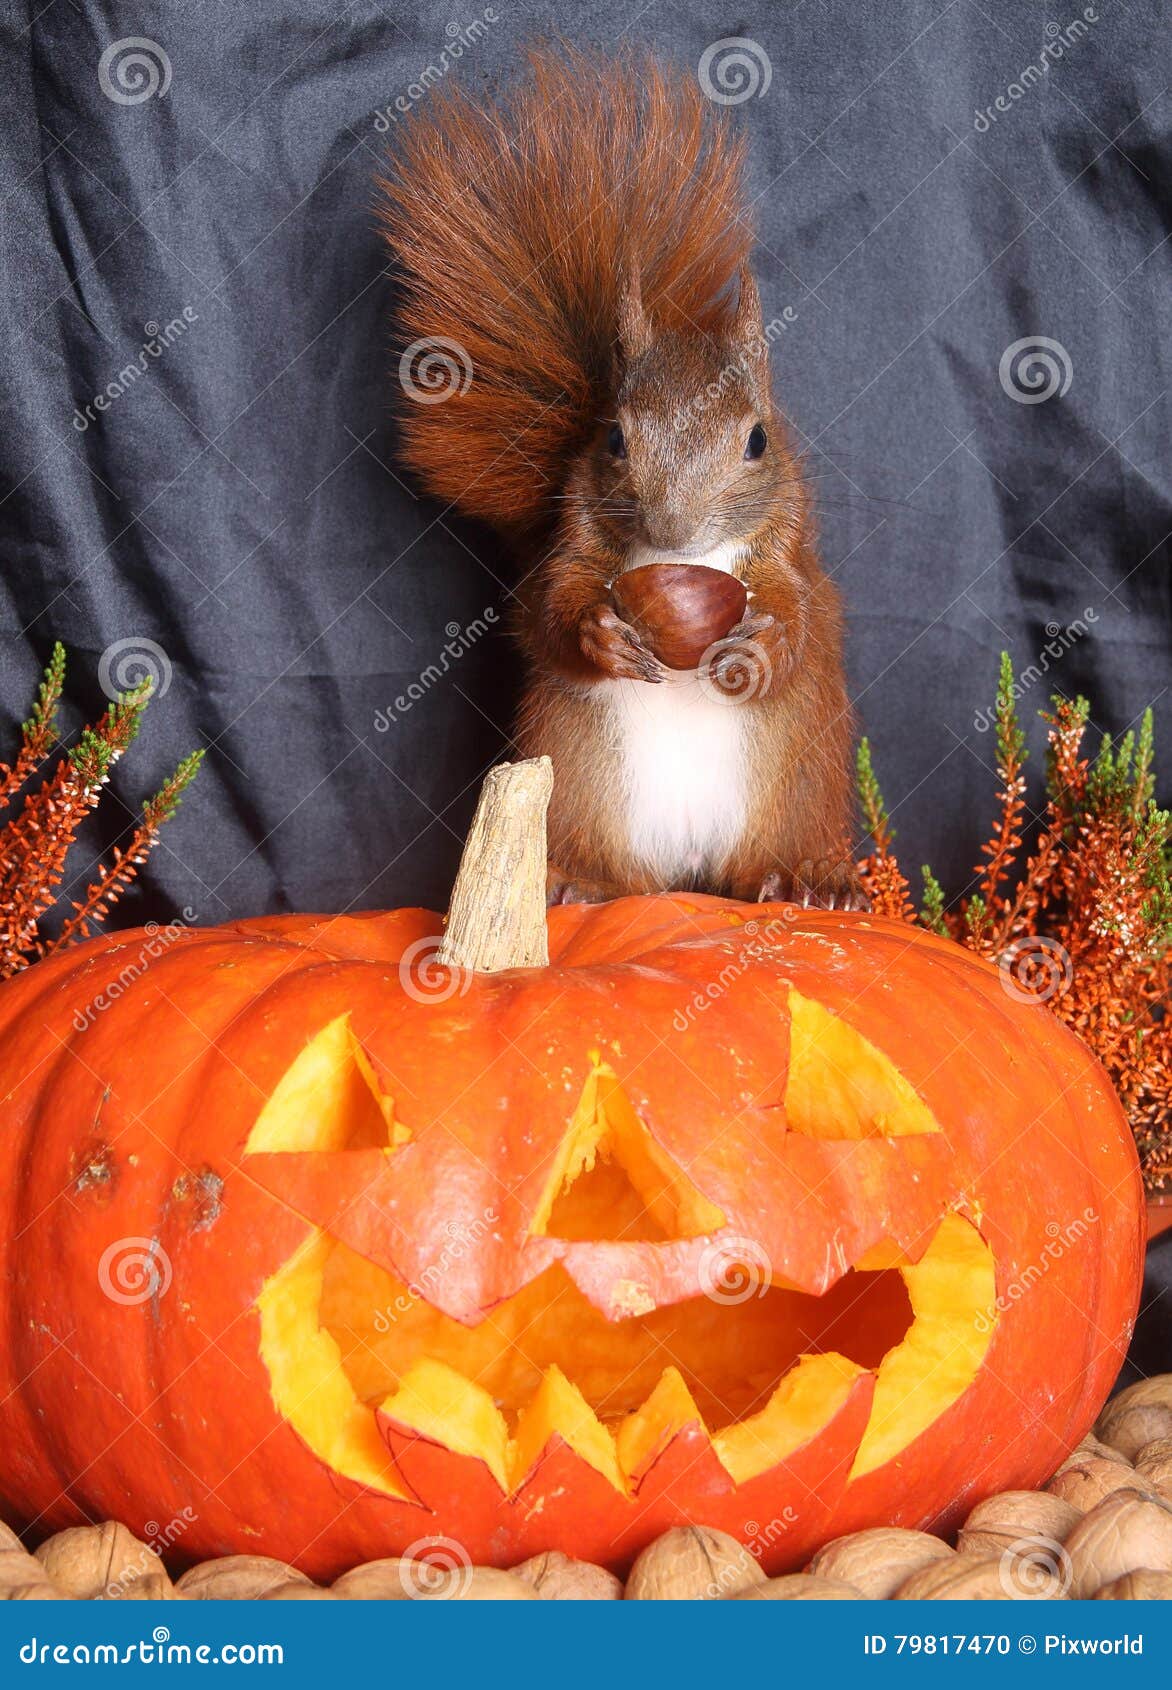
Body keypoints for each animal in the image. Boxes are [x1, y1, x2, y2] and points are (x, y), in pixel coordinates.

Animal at [377, 48, 863, 909]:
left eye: (757, 440)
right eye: (613, 437)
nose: (671, 527)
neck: (687, 559)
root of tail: (686, 869)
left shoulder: (787, 542)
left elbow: (801, 611)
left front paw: (767, 643)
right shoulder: (571, 540)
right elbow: (552, 607)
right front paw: (598, 634)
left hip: (799, 786)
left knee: (769, 855)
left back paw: (808, 880)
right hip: (578, 783)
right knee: (606, 864)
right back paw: (579, 882)